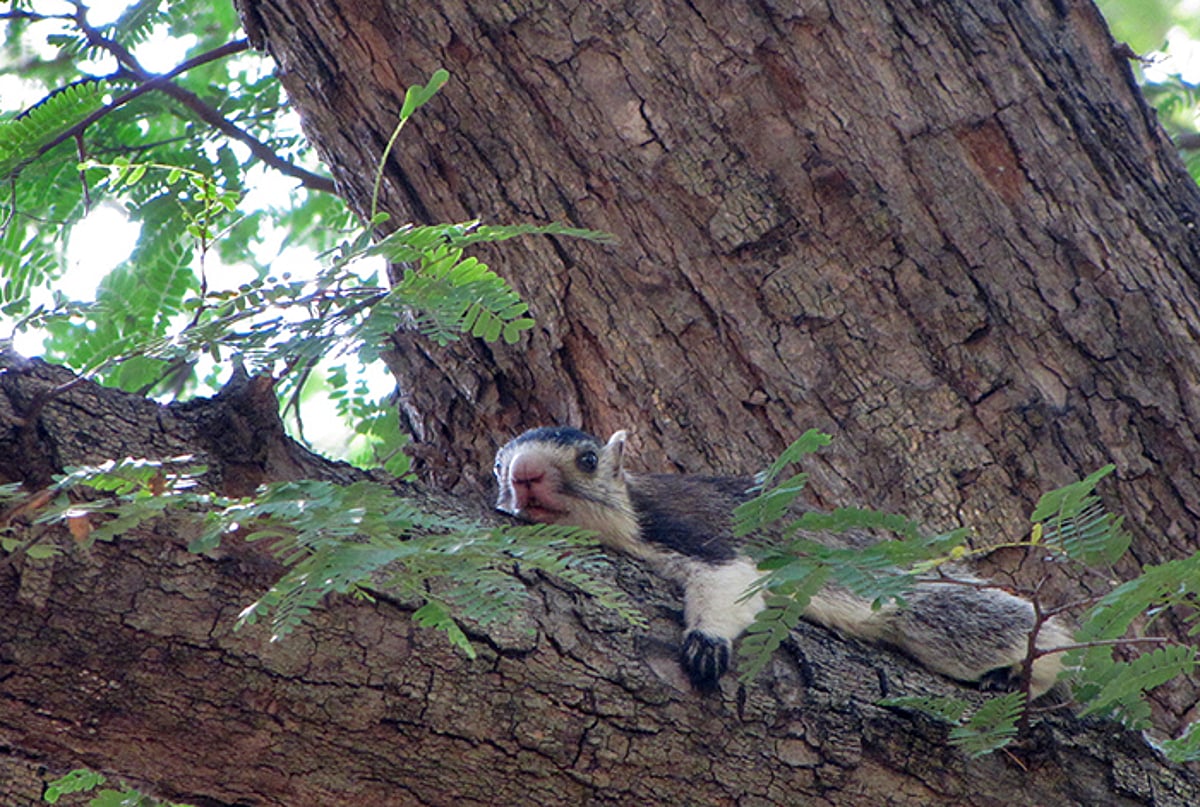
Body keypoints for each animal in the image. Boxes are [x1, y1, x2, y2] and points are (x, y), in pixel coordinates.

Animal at [494, 426, 1072, 697]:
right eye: (498, 464)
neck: (631, 508)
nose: (523, 475)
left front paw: (707, 643)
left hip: (928, 616)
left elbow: (731, 580)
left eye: (588, 460)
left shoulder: (695, 533)